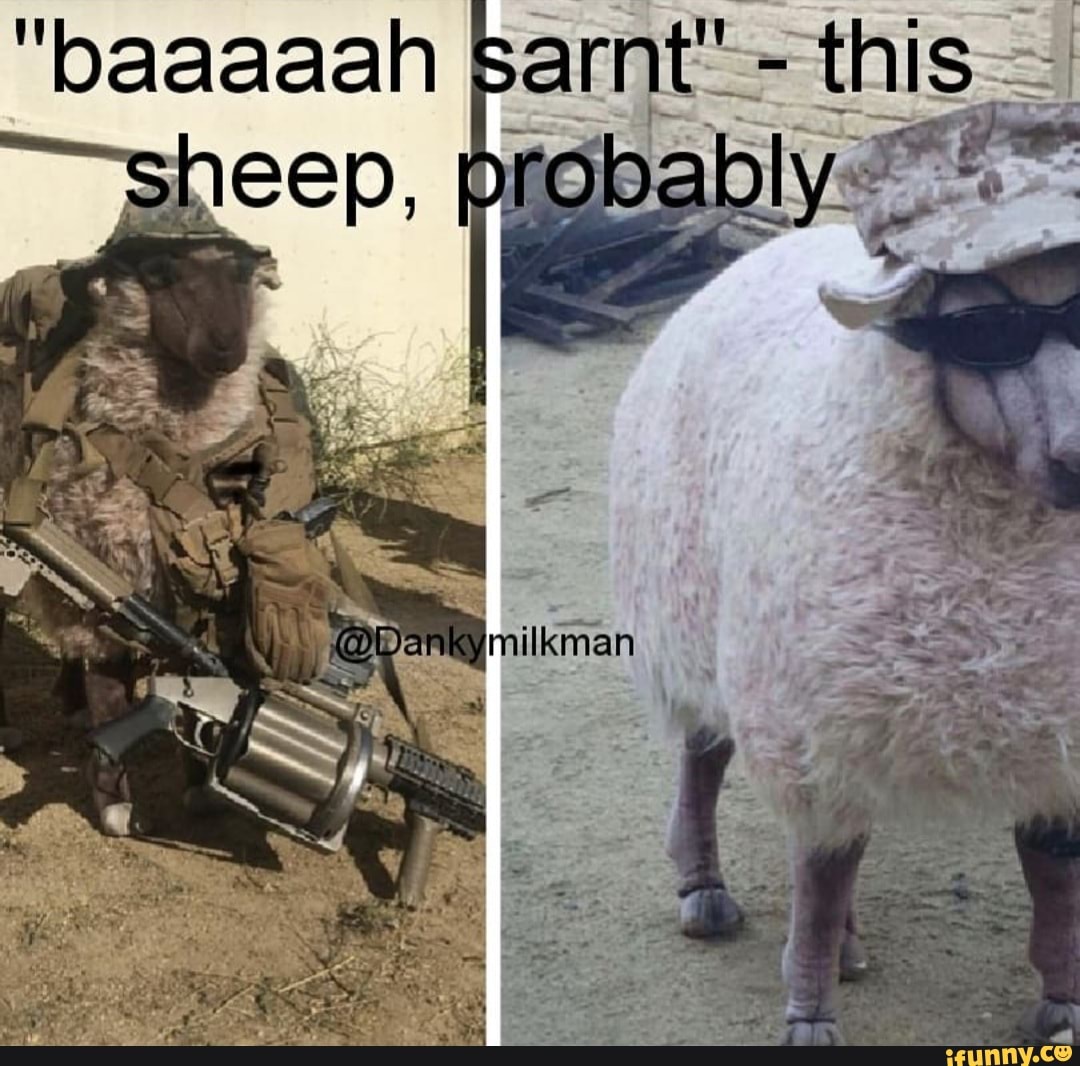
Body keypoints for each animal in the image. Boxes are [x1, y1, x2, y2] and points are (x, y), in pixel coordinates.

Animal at [609, 218, 1080, 1044]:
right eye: (984, 329)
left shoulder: (1048, 715)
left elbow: (1052, 860)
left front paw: (1061, 1008)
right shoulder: (805, 715)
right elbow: (820, 877)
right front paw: (810, 1016)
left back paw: (850, 947)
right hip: (706, 624)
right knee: (707, 757)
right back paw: (704, 890)